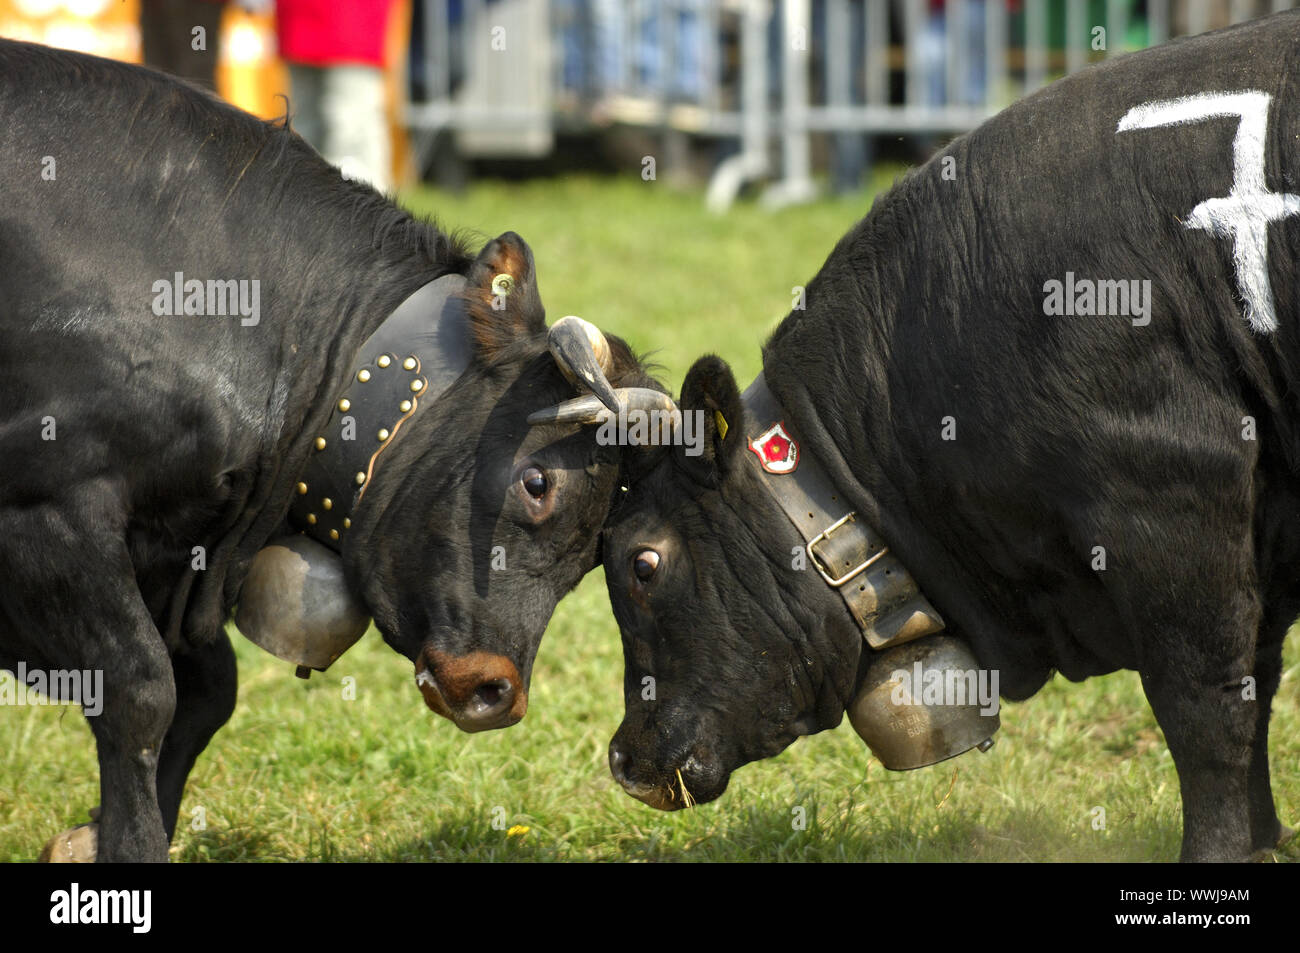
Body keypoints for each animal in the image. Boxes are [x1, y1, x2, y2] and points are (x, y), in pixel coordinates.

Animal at [0, 39, 668, 862]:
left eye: (596, 552)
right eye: (538, 482)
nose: (495, 691)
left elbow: (206, 692)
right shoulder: (48, 509)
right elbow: (140, 688)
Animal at [593, 12, 1300, 862]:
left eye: (642, 561)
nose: (624, 757)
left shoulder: (1175, 499)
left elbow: (1208, 707)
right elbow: (1258, 679)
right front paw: (1268, 837)